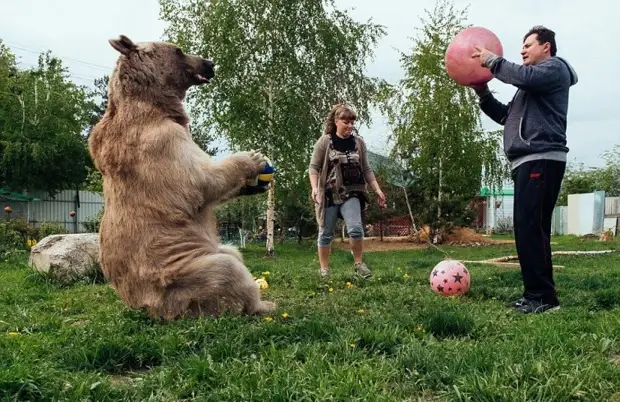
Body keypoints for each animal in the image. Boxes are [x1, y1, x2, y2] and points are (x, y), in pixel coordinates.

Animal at [89, 36, 276, 322]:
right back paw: (262, 304)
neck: (155, 105)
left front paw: (254, 184)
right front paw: (252, 158)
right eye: (178, 50)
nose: (210, 63)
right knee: (227, 270)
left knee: (232, 251)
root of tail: (147, 308)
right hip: (181, 278)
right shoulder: (161, 143)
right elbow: (199, 181)